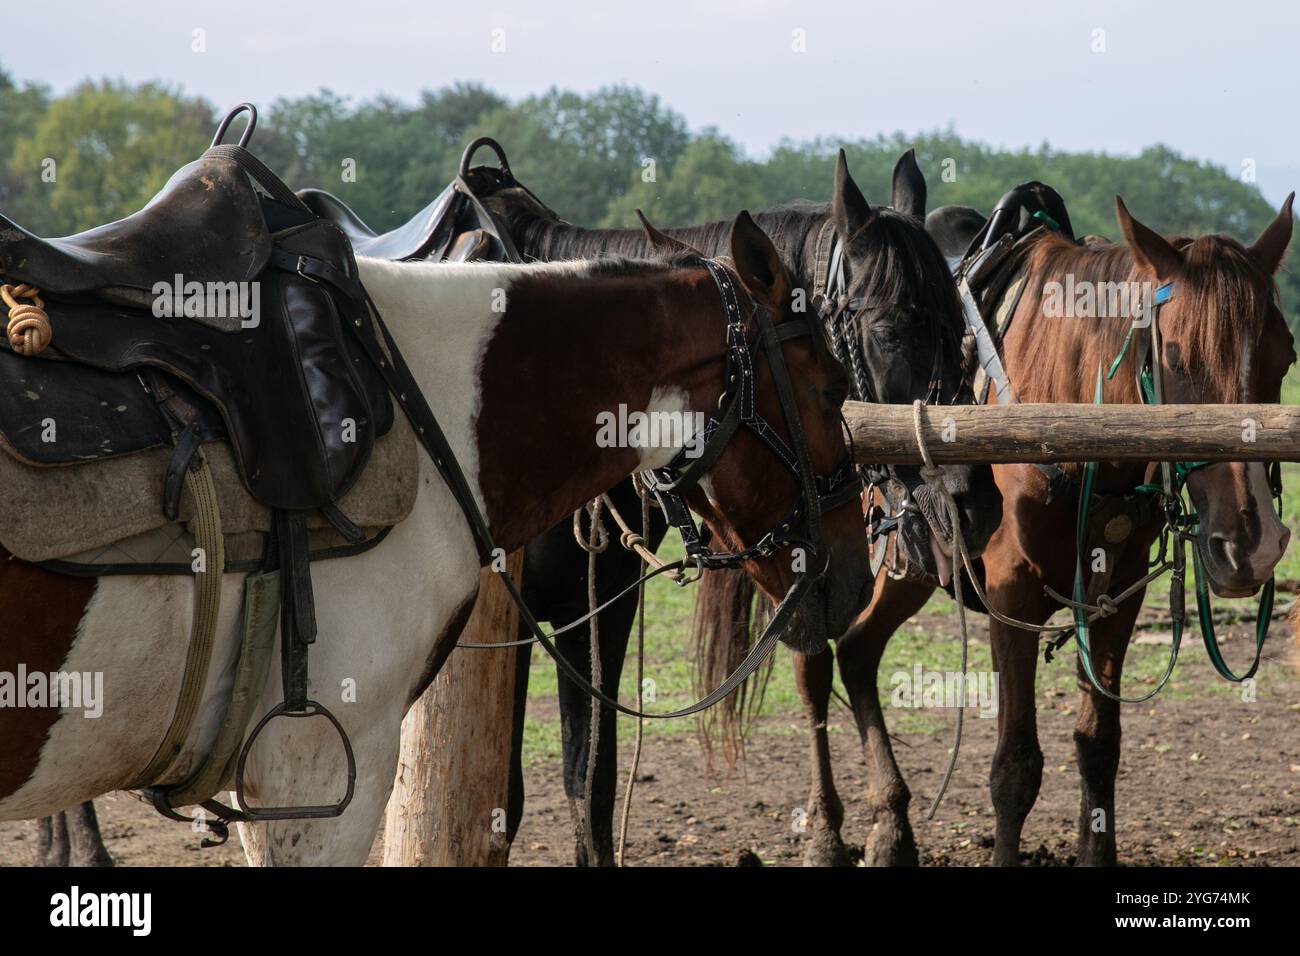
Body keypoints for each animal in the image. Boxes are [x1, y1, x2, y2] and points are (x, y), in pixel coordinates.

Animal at [483, 149, 1004, 865]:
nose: (975, 503)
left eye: (960, 329)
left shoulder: (597, 614)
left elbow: (589, 778)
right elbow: (503, 797)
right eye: (890, 331)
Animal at [790, 191, 1295, 866]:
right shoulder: (1013, 593)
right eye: (1176, 357)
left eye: (1285, 356)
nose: (1251, 545)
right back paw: (826, 831)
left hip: (908, 567)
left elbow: (1099, 745)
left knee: (858, 651)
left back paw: (892, 828)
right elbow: (1015, 767)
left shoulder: (1117, 593)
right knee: (814, 666)